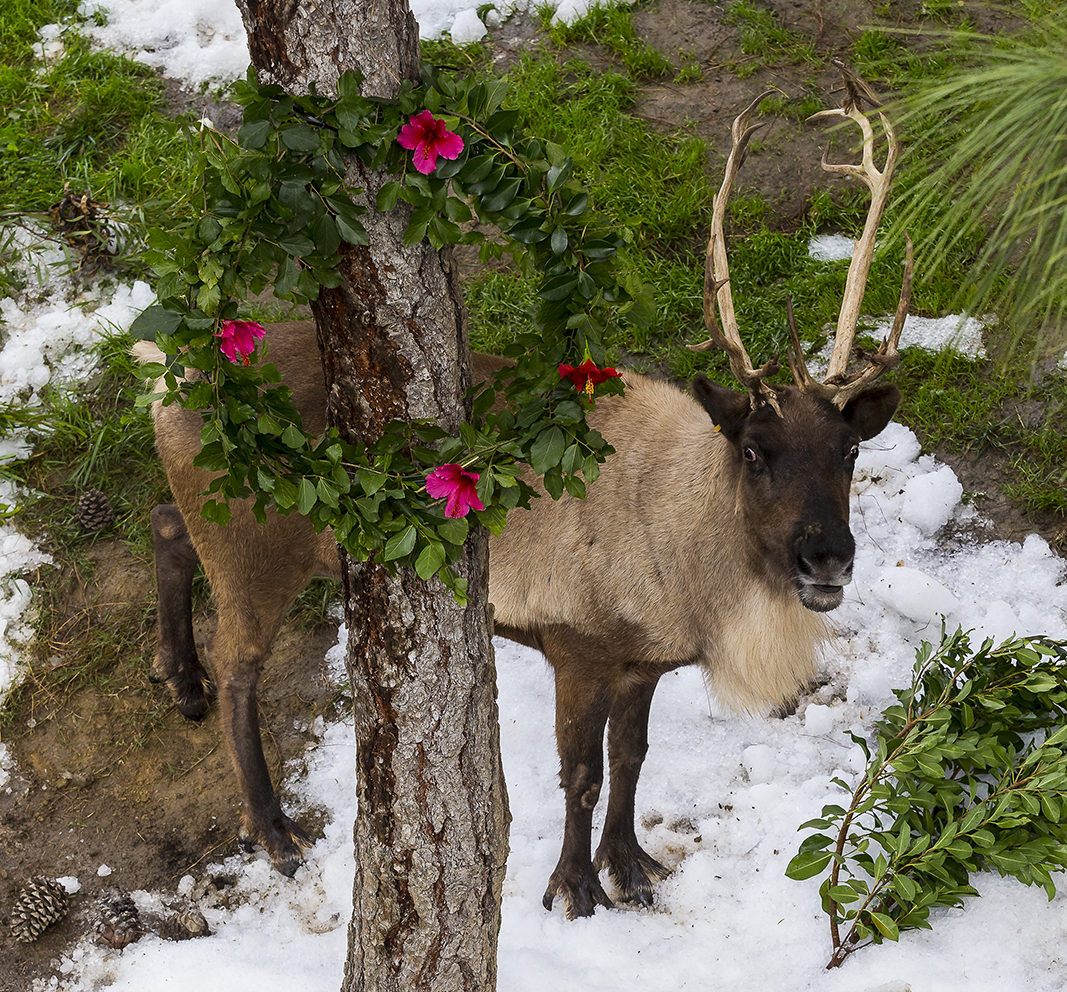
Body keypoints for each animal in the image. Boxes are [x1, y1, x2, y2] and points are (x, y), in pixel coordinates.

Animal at [138, 73, 910, 919]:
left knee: (166, 522)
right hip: (257, 548)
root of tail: (169, 382)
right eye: (752, 451)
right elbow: (583, 775)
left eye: (849, 451)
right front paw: (572, 888)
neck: (686, 570)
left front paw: (629, 866)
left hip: (226, 524)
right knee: (239, 662)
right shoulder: (577, 648)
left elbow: (632, 759)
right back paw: (271, 826)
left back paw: (179, 680)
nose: (826, 558)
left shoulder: (642, 664)